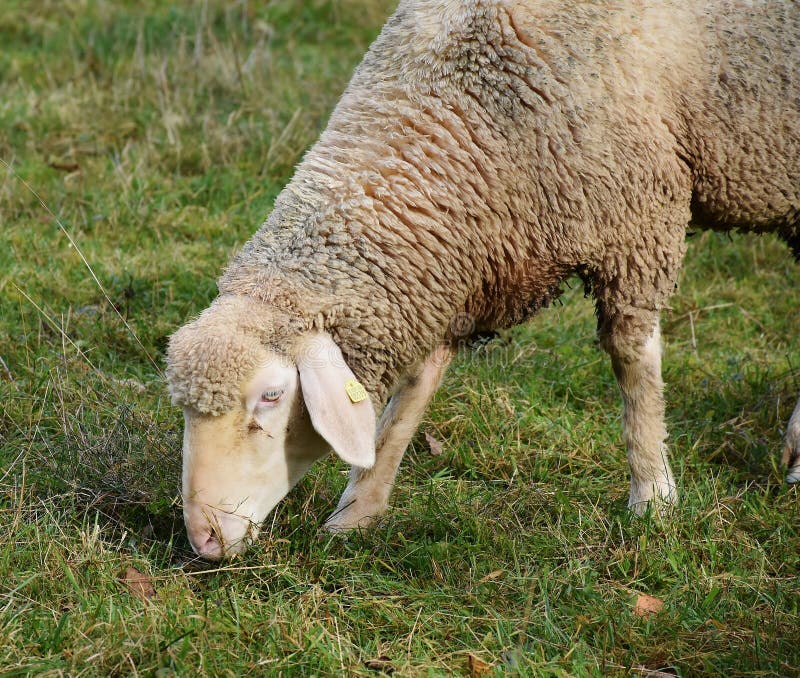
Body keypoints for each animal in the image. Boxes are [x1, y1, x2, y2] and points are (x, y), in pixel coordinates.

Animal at [166, 0, 800, 560]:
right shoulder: (457, 265)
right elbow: (413, 392)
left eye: (272, 397)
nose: (204, 539)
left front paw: (653, 498)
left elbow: (634, 364)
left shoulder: (636, 222)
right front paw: (357, 512)